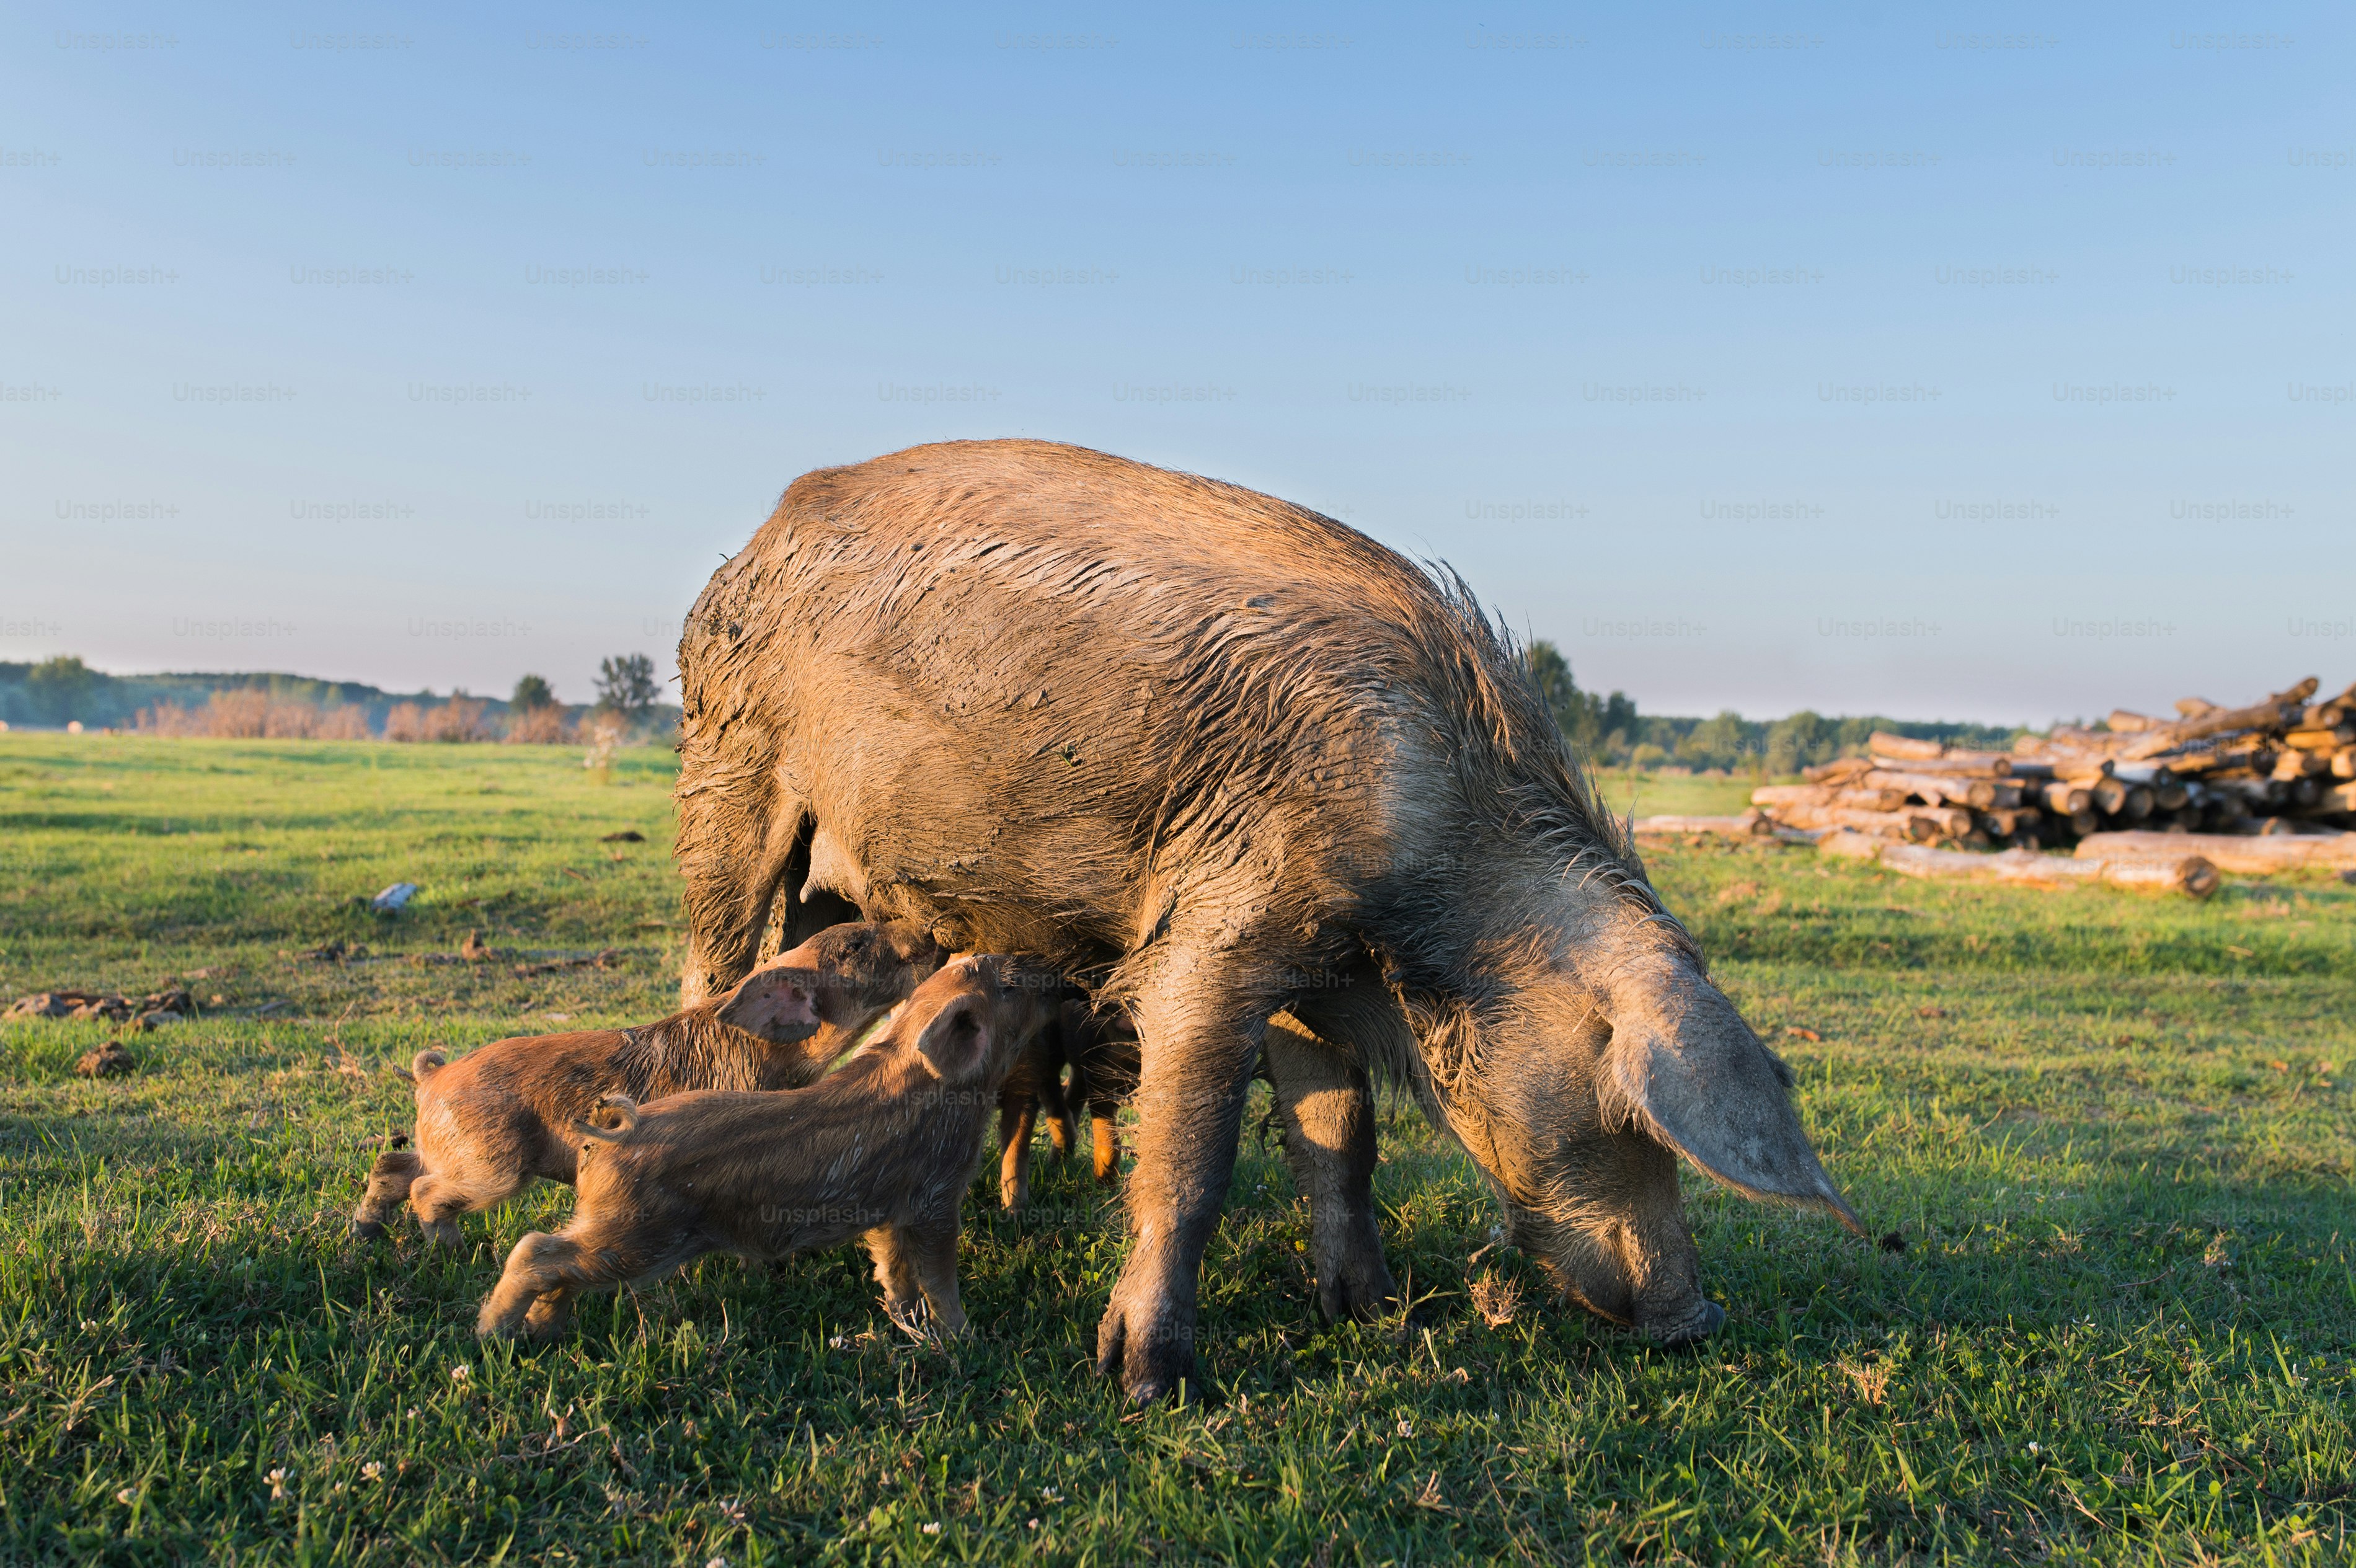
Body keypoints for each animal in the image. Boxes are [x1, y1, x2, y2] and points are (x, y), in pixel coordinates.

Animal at [352, 920, 944, 1244]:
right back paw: (450, 1249)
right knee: (426, 1190)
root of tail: (431, 1076)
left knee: (392, 1166)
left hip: (447, 1150)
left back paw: (367, 1231)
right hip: (493, 1164)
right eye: (855, 946)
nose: (933, 934)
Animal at [475, 954, 1048, 1341]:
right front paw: (964, 1336)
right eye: (1008, 986)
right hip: (635, 1236)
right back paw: (493, 1333)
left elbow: (894, 1270)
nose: (1049, 968)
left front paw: (907, 1323)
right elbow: (939, 1275)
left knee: (557, 1266)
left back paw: (543, 1329)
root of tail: (612, 1134)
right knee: (535, 1250)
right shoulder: (936, 1198)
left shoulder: (888, 1212)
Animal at [669, 439, 1862, 1402]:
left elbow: (1342, 1136)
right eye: (1629, 1110)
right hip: (724, 769)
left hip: (835, 876)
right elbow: (1193, 1154)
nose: (1694, 1318)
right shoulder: (1219, 927)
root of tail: (756, 536)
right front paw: (1148, 1380)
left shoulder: (1315, 973)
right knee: (711, 973)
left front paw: (1373, 1311)